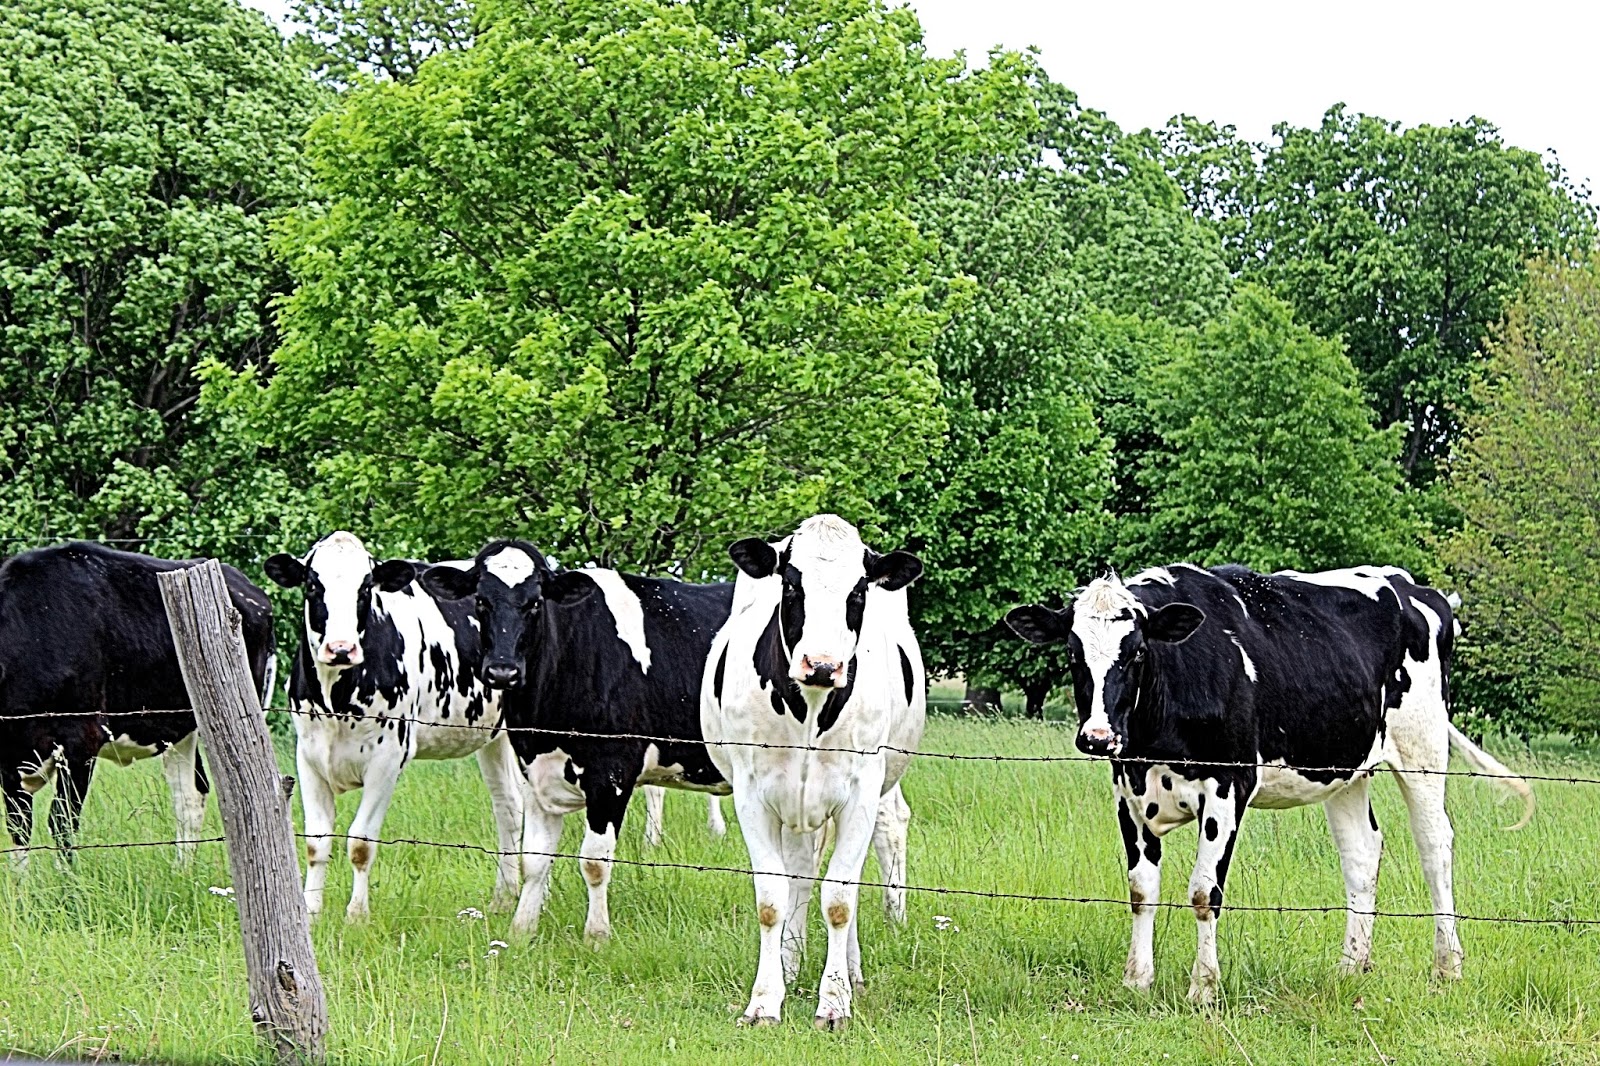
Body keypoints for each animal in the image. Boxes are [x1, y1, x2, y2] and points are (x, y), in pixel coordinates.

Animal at [0, 542, 275, 870]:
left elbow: (62, 821)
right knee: (190, 794)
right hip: (179, 729)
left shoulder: (81, 740)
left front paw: (67, 885)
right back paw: (182, 872)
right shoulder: (6, 759)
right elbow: (18, 826)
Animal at [264, 531, 524, 921]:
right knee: (508, 805)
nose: (341, 648)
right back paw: (504, 898)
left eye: (366, 587)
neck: (337, 698)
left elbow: (360, 842)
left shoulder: (388, 757)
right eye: (312, 584)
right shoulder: (308, 756)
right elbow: (315, 843)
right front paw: (310, 911)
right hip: (493, 737)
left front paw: (357, 915)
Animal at [418, 540, 735, 943]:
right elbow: (534, 859)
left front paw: (596, 935)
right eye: (480, 601)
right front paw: (521, 930)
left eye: (535, 602)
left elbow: (595, 860)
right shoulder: (534, 771)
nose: (502, 671)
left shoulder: (612, 774)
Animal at [701, 514, 927, 1031]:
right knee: (800, 876)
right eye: (790, 583)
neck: (810, 706)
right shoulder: (752, 795)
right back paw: (789, 961)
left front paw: (835, 1001)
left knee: (867, 857)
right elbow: (772, 897)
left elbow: (840, 899)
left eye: (859, 589)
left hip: (872, 792)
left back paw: (851, 972)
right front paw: (766, 999)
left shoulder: (861, 792)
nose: (823, 665)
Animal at [1005, 564, 1535, 1003]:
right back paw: (1350, 967)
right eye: (1072, 653)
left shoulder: (1228, 786)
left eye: (1136, 652)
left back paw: (1447, 966)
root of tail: (1411, 584)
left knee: (1434, 844)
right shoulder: (1128, 791)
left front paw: (1204, 989)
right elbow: (1141, 889)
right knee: (1362, 853)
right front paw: (1137, 980)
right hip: (1344, 767)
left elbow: (1204, 893)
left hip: (1422, 747)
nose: (1098, 736)